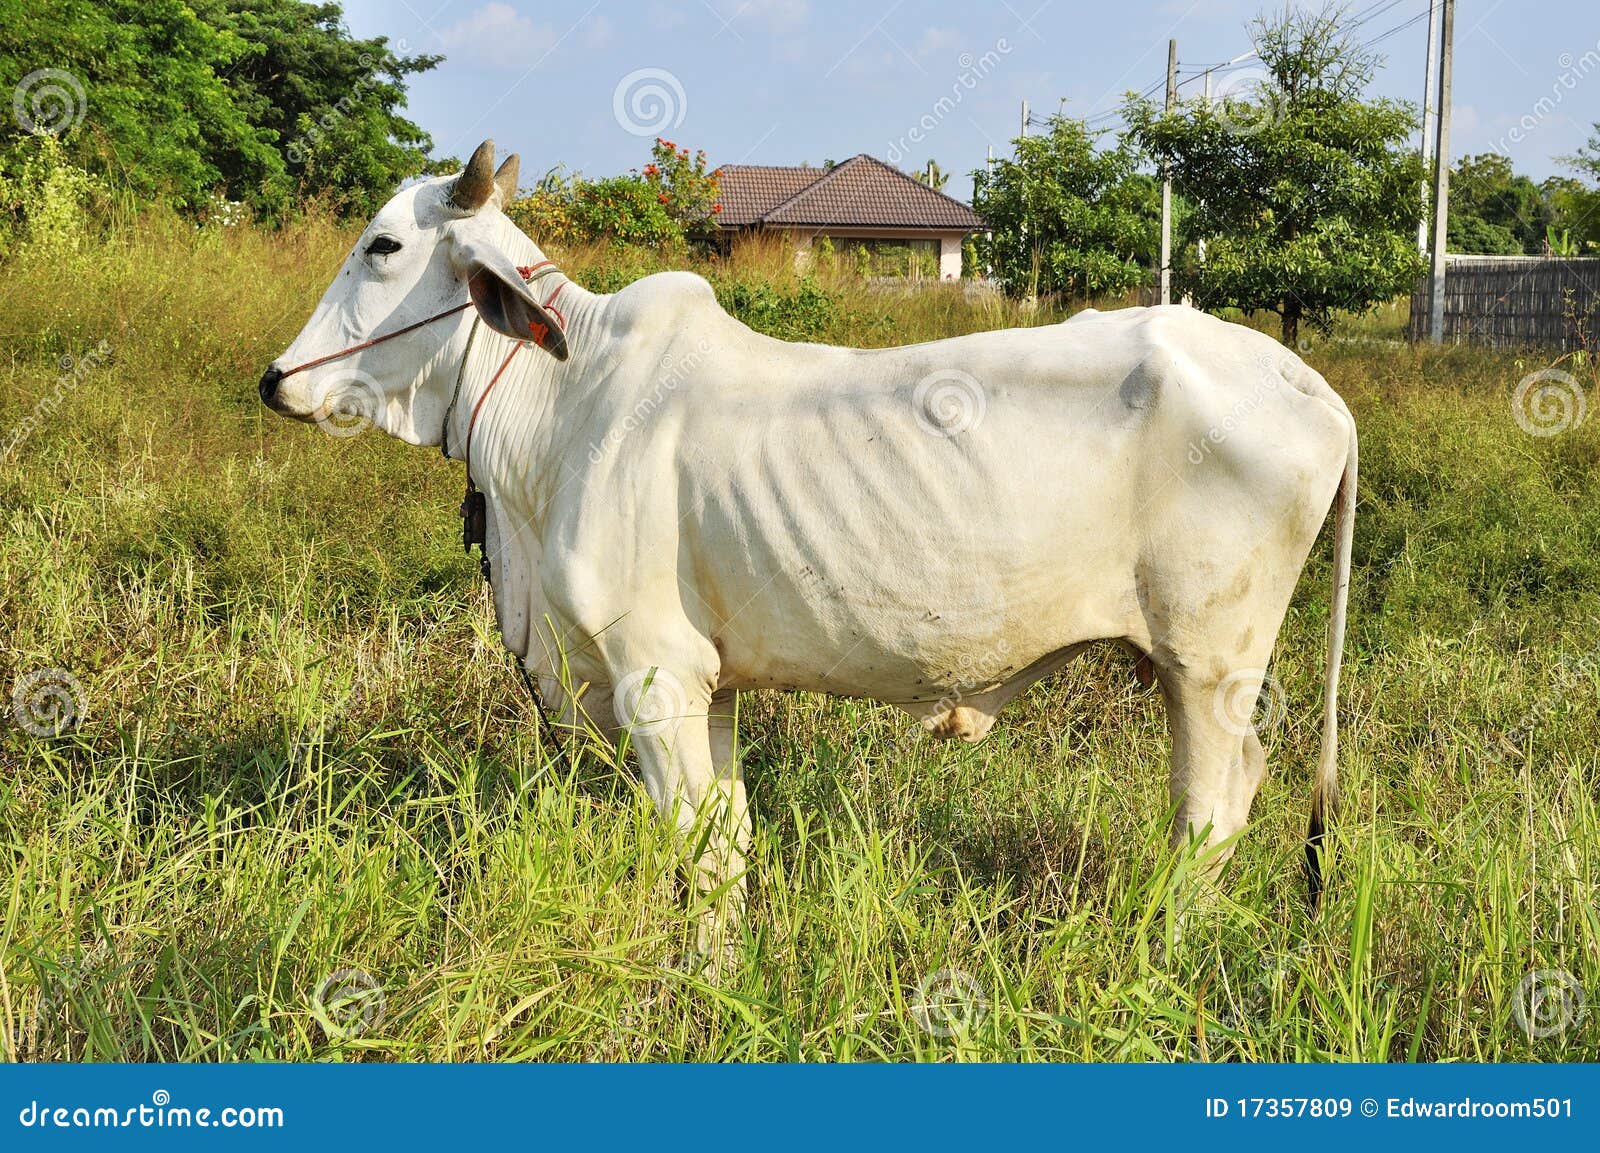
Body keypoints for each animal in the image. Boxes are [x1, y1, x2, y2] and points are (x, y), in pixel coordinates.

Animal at [260, 140, 1357, 960]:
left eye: (384, 245)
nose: (276, 380)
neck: (564, 401)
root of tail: (1308, 383)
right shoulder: (710, 683)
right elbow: (729, 841)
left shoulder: (652, 673)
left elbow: (696, 855)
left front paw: (699, 985)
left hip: (1207, 664)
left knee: (1210, 807)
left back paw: (1167, 950)